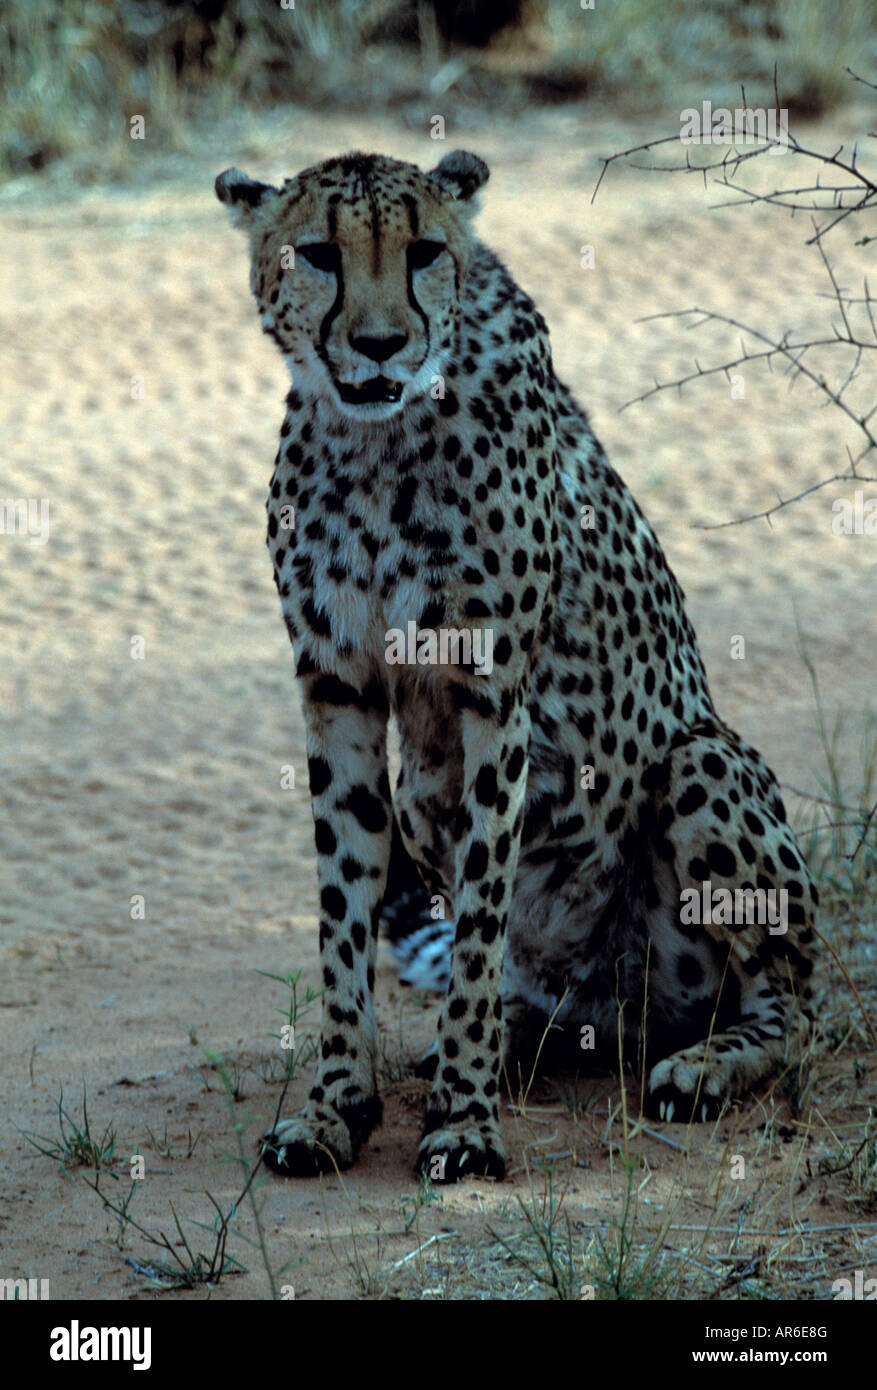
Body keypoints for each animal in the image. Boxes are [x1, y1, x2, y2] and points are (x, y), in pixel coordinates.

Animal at [215, 148, 817, 1183]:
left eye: (423, 251)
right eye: (317, 255)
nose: (381, 345)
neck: (374, 434)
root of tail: (612, 1014)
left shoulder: (492, 696)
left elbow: (479, 911)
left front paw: (462, 1122)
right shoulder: (336, 688)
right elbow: (344, 911)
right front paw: (336, 1106)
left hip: (702, 766)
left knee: (789, 999)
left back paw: (699, 1066)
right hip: (428, 800)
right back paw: (516, 1032)